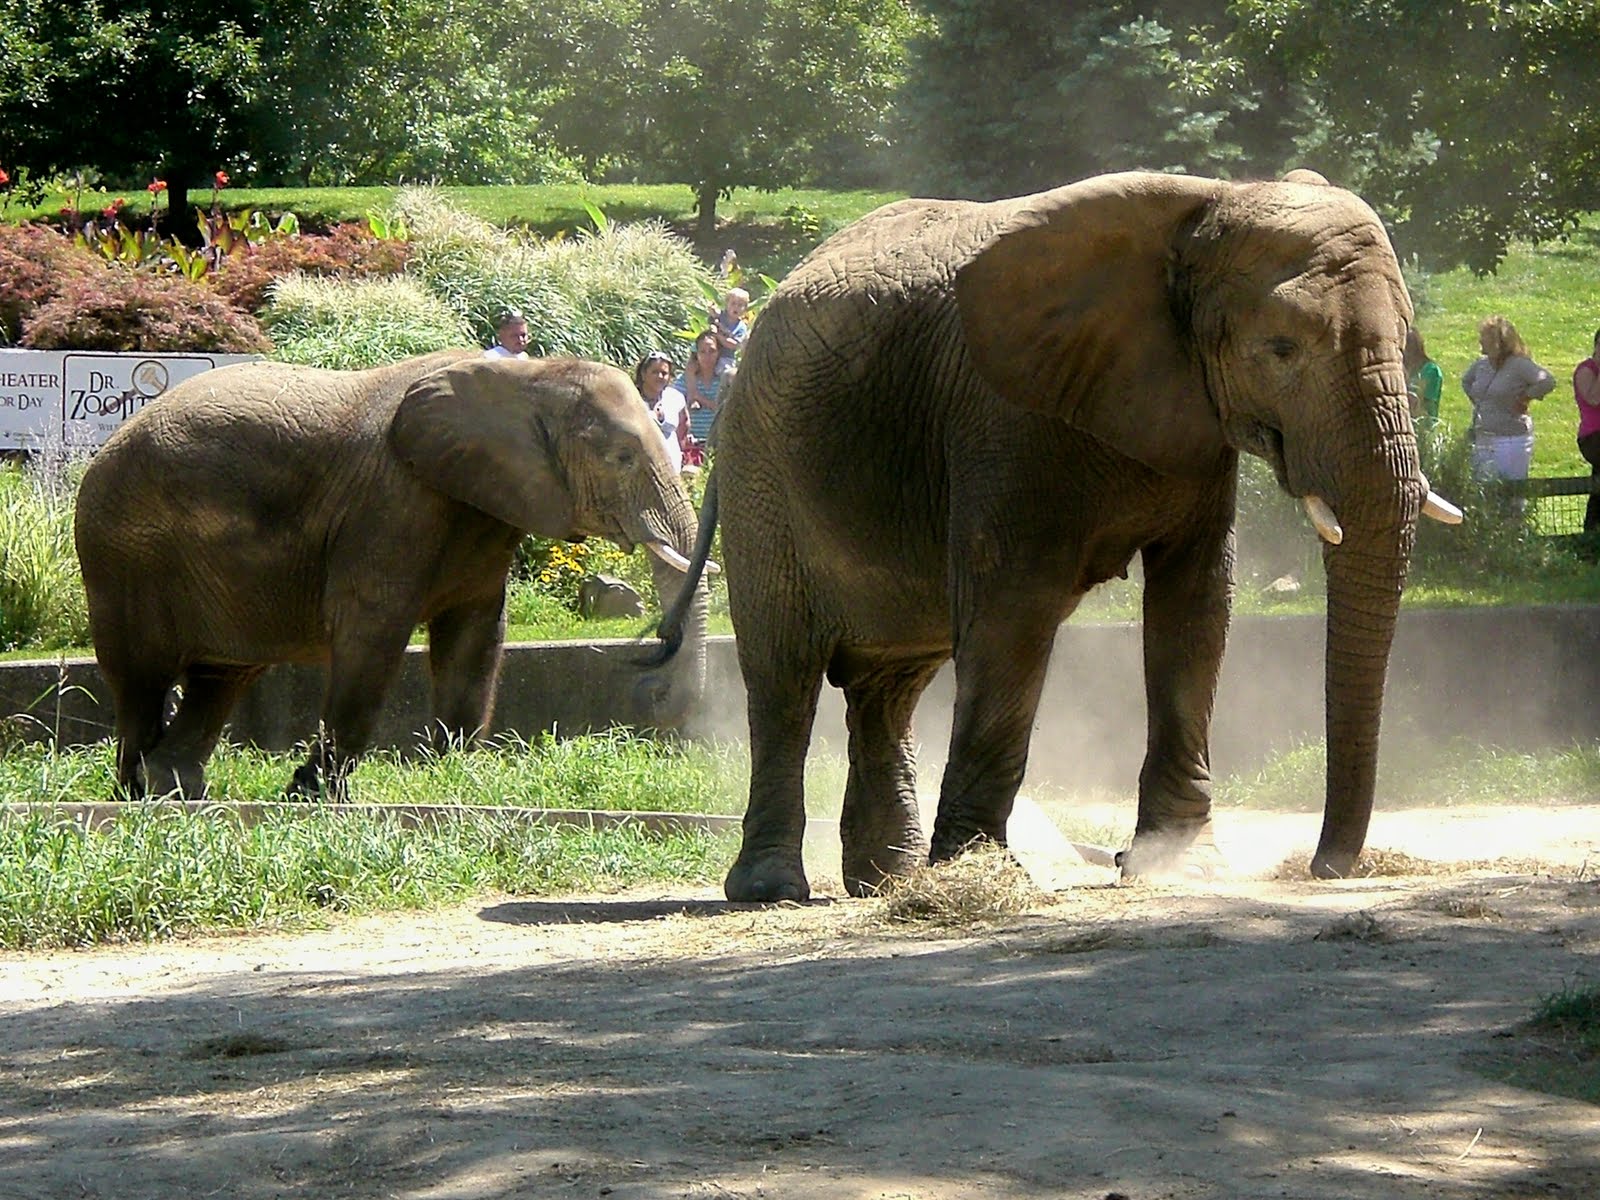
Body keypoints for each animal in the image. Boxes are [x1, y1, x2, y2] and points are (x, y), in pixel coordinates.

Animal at [75, 350, 708, 801]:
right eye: (622, 458)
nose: (654, 687)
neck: (527, 377)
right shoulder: (393, 503)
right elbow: (371, 631)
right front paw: (313, 794)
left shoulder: (486, 506)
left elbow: (477, 636)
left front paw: (454, 778)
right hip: (124, 554)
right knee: (143, 677)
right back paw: (138, 794)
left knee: (220, 678)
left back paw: (177, 791)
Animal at [657, 169, 1461, 902]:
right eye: (1282, 348)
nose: (1325, 868)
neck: (1208, 202)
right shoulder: (1003, 420)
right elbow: (1012, 617)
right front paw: (981, 871)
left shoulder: (1194, 423)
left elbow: (1197, 610)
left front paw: (1180, 866)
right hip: (764, 473)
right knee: (785, 678)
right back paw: (776, 889)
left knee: (888, 690)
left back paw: (889, 882)